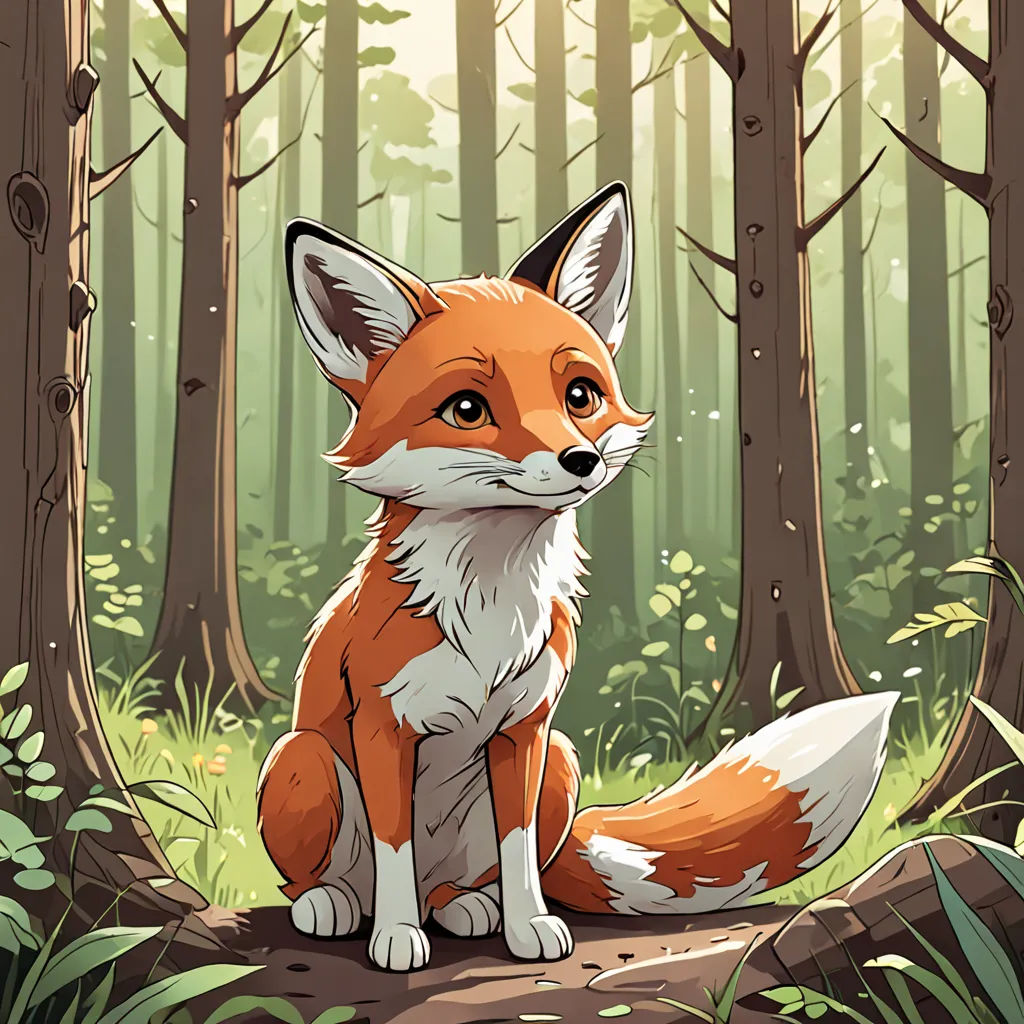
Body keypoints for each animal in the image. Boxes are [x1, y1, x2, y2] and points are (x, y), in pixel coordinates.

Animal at [256, 181, 898, 973]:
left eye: (581, 397)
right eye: (467, 409)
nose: (580, 461)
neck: (489, 607)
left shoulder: (527, 730)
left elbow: (521, 851)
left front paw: (527, 927)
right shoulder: (382, 728)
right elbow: (393, 847)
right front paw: (396, 939)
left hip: (560, 763)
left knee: (467, 881)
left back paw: (465, 908)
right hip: (306, 758)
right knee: (330, 879)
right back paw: (337, 905)